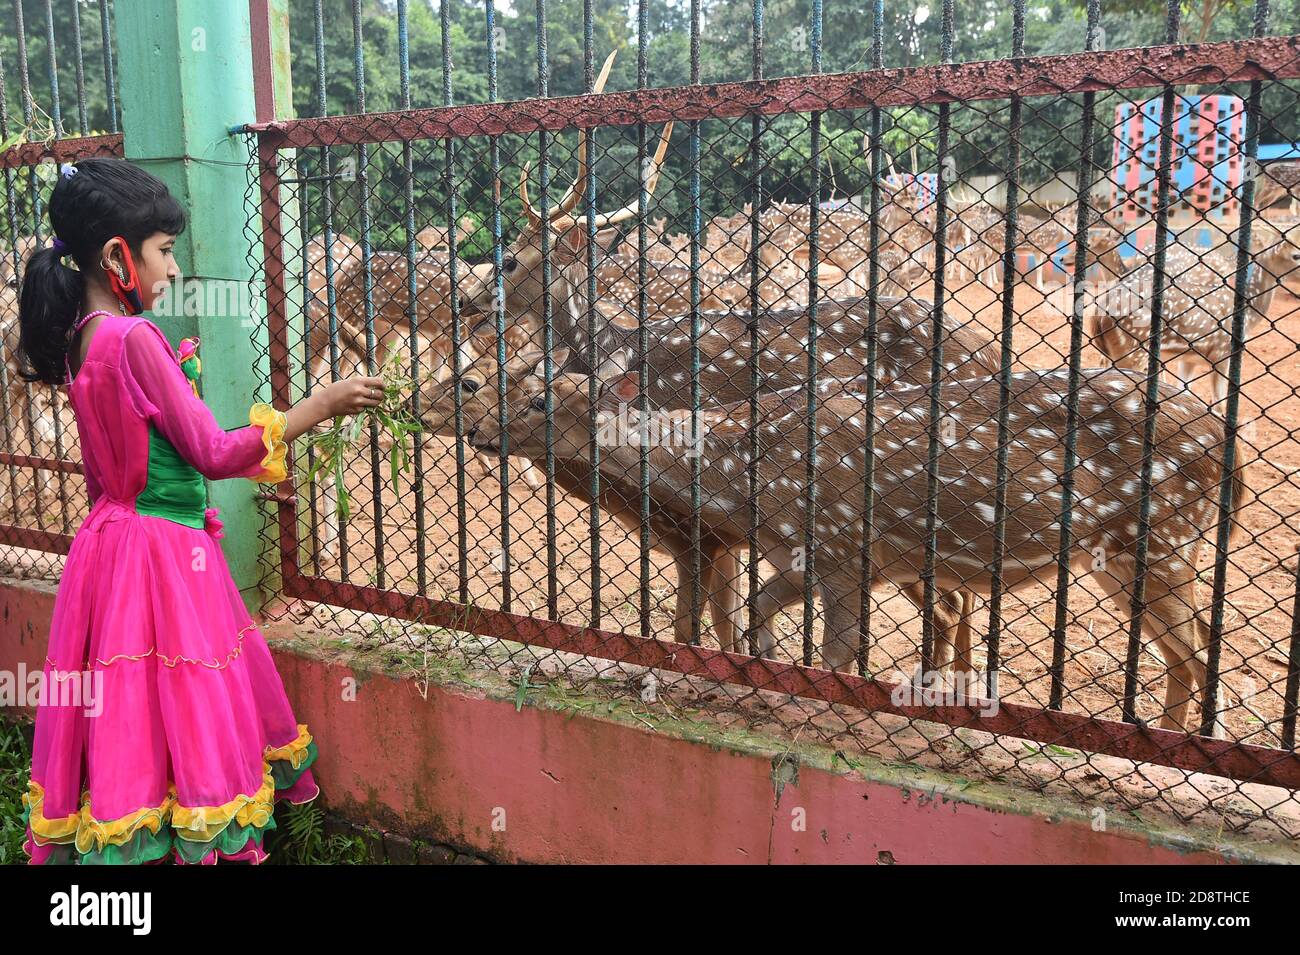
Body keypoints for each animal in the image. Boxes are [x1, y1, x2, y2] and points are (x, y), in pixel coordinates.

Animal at [468, 360, 1243, 733]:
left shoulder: (841, 547)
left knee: (1199, 650)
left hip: (1163, 535)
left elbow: (839, 649)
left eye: (540, 401)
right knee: (1189, 649)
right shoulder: (803, 553)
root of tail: (1229, 443)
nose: (476, 431)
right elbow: (757, 609)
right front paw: (761, 670)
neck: (744, 477)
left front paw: (809, 706)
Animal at [1089, 223, 1300, 407]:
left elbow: (1185, 391)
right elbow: (1219, 405)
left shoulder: (1189, 358)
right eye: (1296, 255)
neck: (1249, 316)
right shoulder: (1222, 352)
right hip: (1132, 350)